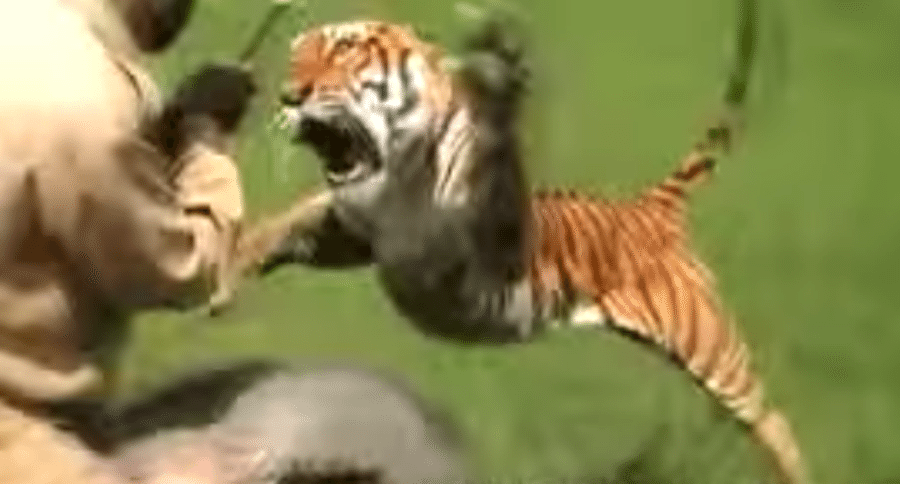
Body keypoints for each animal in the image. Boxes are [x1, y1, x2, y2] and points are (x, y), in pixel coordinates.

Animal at [232, 3, 809, 483]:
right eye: (297, 55)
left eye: (345, 49)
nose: (289, 96)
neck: (390, 172)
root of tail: (652, 205)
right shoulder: (355, 231)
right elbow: (289, 222)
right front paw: (232, 265)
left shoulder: (490, 246)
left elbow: (496, 168)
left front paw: (500, 71)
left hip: (710, 347)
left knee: (771, 418)